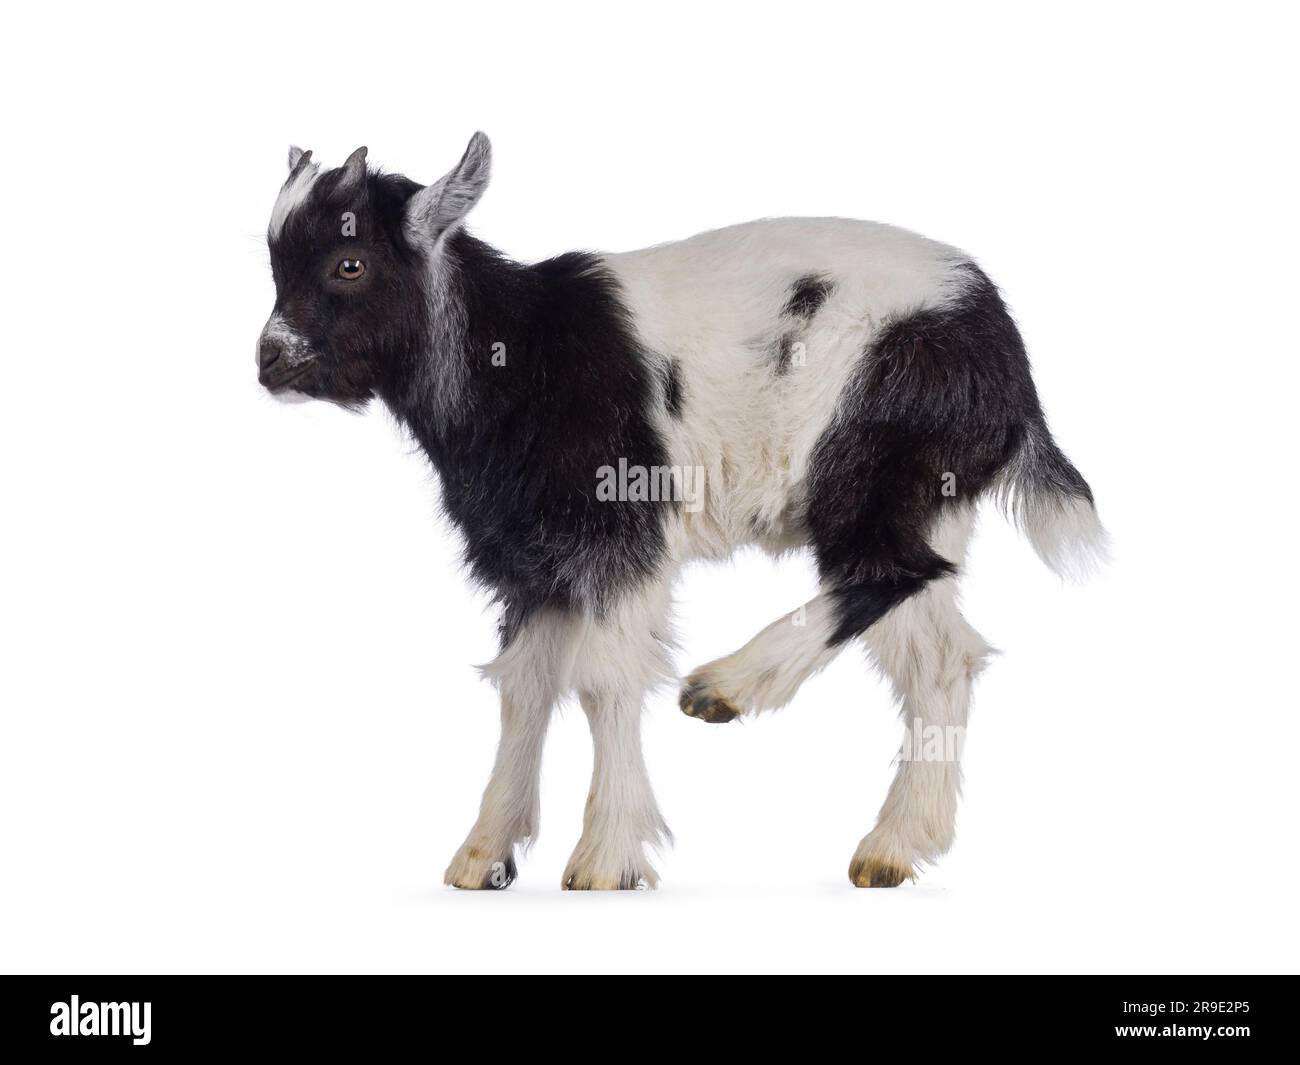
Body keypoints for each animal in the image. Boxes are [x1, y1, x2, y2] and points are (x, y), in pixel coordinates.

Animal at [257, 133, 1106, 890]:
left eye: (350, 263)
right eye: (273, 265)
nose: (268, 360)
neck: (517, 353)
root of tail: (1008, 358)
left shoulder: (620, 536)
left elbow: (604, 681)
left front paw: (606, 859)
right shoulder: (531, 561)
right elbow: (524, 687)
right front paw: (484, 854)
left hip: (878, 467)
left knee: (889, 573)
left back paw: (729, 686)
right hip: (933, 495)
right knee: (938, 651)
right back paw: (894, 846)